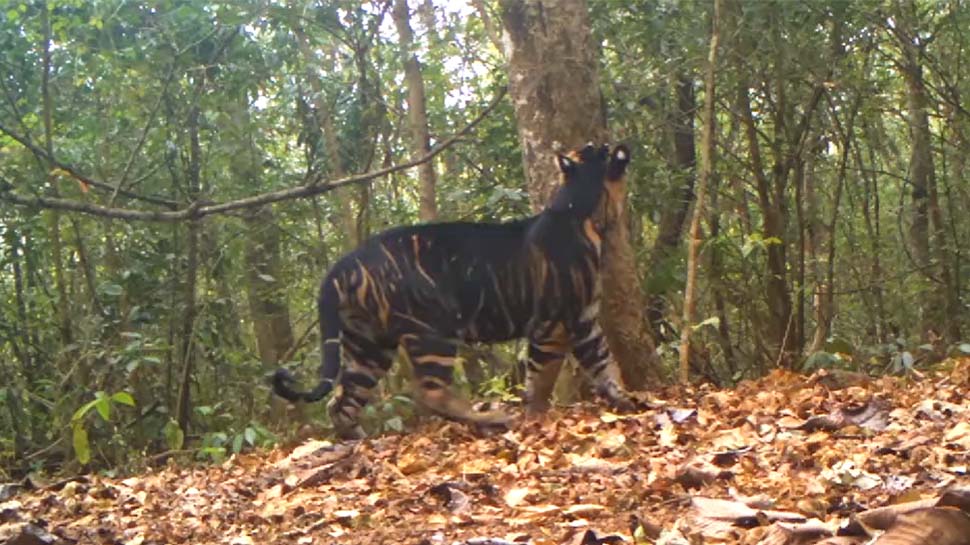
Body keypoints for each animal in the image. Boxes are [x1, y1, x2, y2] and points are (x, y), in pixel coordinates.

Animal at [273, 142, 636, 439]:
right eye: (597, 148)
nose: (611, 142)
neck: (584, 209)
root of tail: (342, 265)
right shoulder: (553, 324)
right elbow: (543, 378)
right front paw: (536, 416)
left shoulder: (585, 318)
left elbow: (604, 360)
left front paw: (624, 398)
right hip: (432, 332)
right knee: (430, 392)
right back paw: (491, 418)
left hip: (367, 345)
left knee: (342, 400)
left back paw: (358, 440)